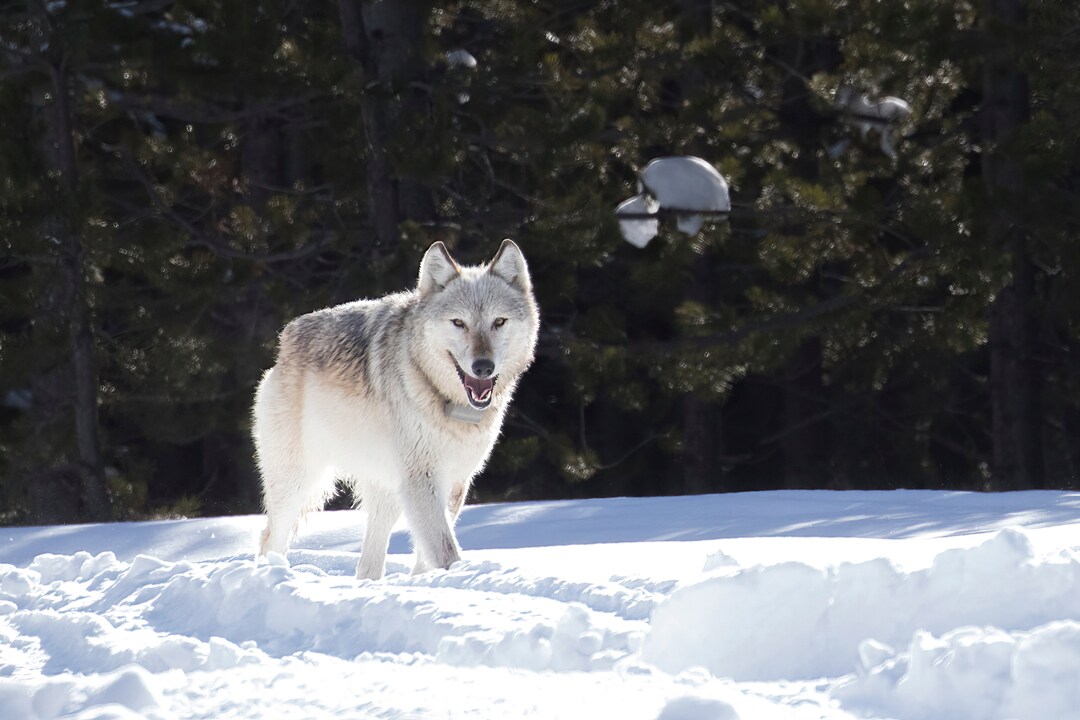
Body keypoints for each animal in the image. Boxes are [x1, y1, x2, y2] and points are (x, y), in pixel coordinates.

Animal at [252, 240, 539, 580]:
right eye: (459, 323)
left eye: (499, 322)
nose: (483, 367)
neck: (445, 401)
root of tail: (287, 336)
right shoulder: (422, 479)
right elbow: (445, 551)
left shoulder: (454, 482)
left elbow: (429, 552)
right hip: (299, 482)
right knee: (271, 537)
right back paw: (273, 572)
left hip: (386, 490)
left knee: (368, 563)